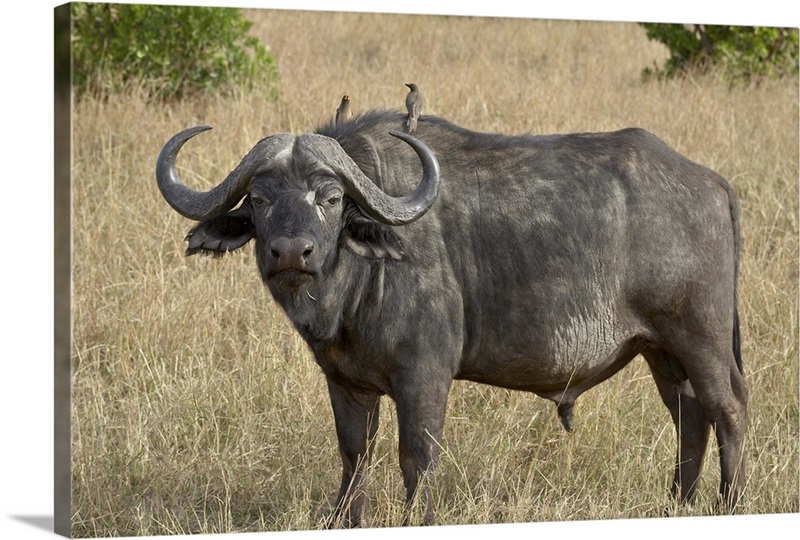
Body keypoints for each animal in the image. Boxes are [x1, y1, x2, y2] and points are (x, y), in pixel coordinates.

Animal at [156, 109, 747, 526]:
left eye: (330, 197)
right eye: (258, 199)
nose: (291, 253)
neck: (357, 287)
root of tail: (711, 183)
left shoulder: (424, 377)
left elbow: (416, 459)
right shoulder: (345, 383)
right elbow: (353, 458)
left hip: (701, 340)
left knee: (728, 410)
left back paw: (730, 504)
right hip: (661, 352)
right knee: (690, 418)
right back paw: (678, 505)